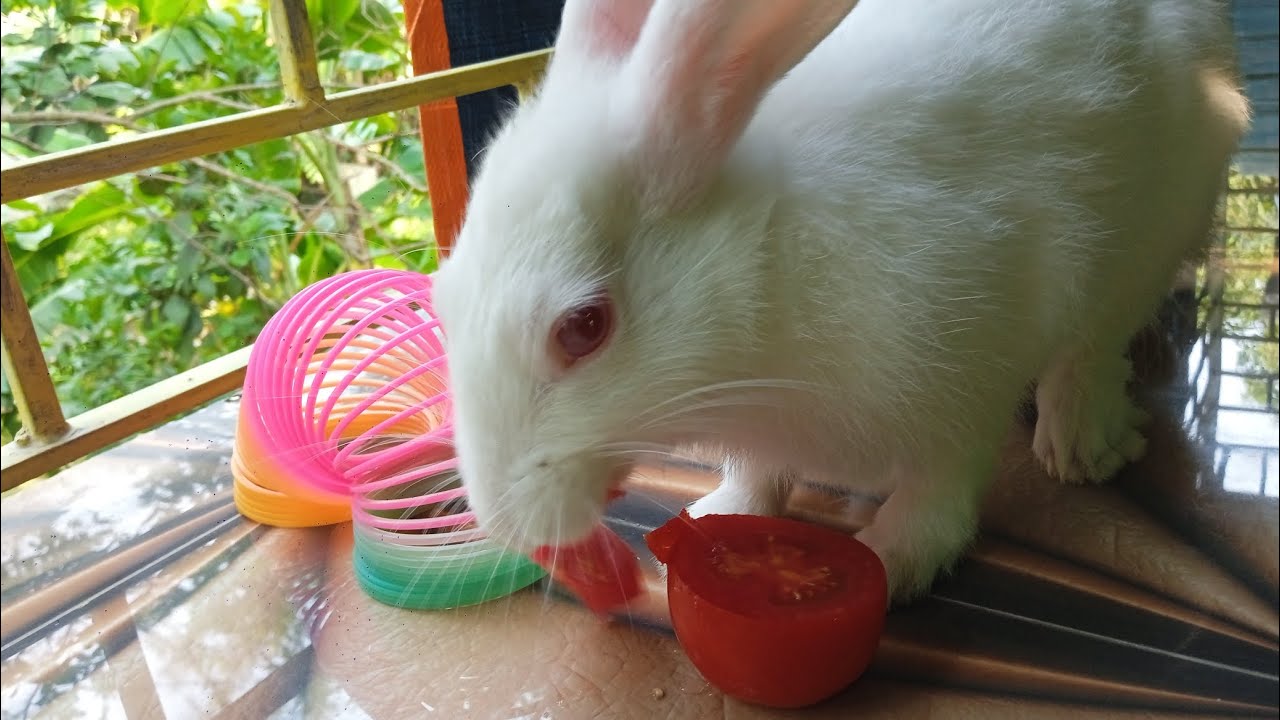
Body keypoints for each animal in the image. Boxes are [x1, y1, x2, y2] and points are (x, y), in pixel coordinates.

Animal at [430, 0, 1250, 602]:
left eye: (583, 327)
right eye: (445, 294)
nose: (504, 522)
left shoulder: (967, 369)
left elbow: (941, 491)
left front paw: (893, 561)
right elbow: (760, 477)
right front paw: (715, 515)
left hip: (1154, 226)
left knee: (1092, 348)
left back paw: (1082, 444)